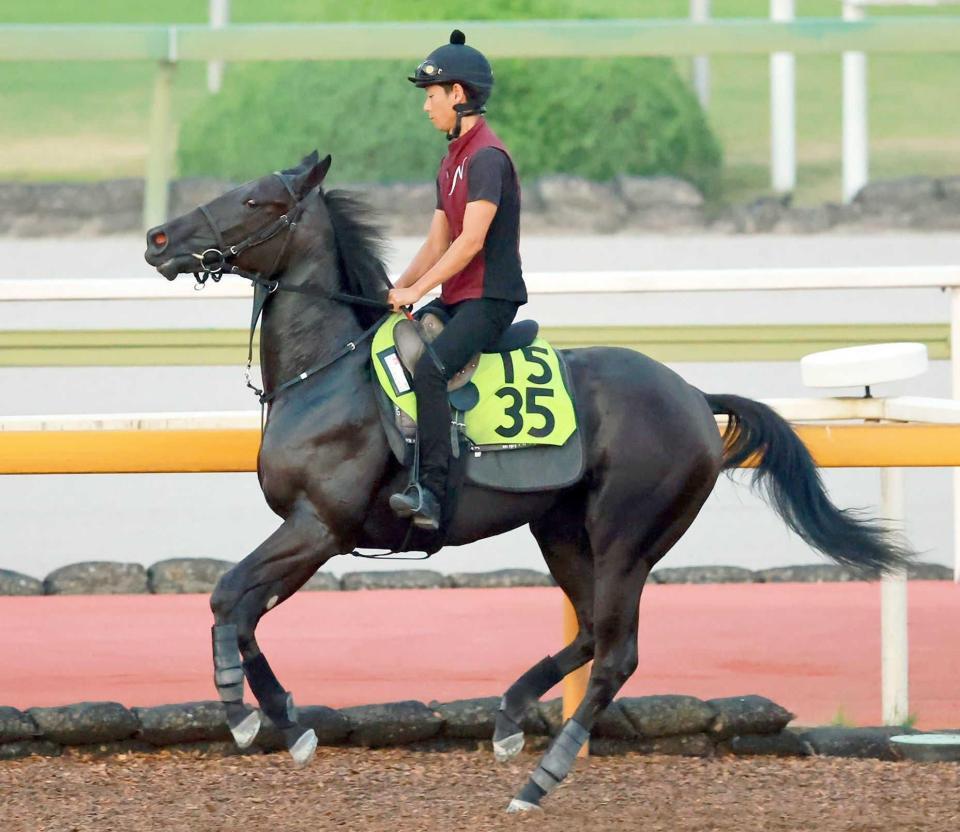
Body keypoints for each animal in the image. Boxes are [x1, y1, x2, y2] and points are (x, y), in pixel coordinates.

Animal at [144, 151, 911, 812]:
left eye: (255, 200)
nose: (157, 238)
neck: (327, 371)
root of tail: (694, 396)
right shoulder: (311, 532)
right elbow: (245, 609)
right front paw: (289, 723)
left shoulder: (319, 525)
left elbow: (226, 596)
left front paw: (240, 713)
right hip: (561, 529)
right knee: (590, 635)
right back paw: (511, 716)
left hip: (626, 537)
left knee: (616, 654)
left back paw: (540, 779)